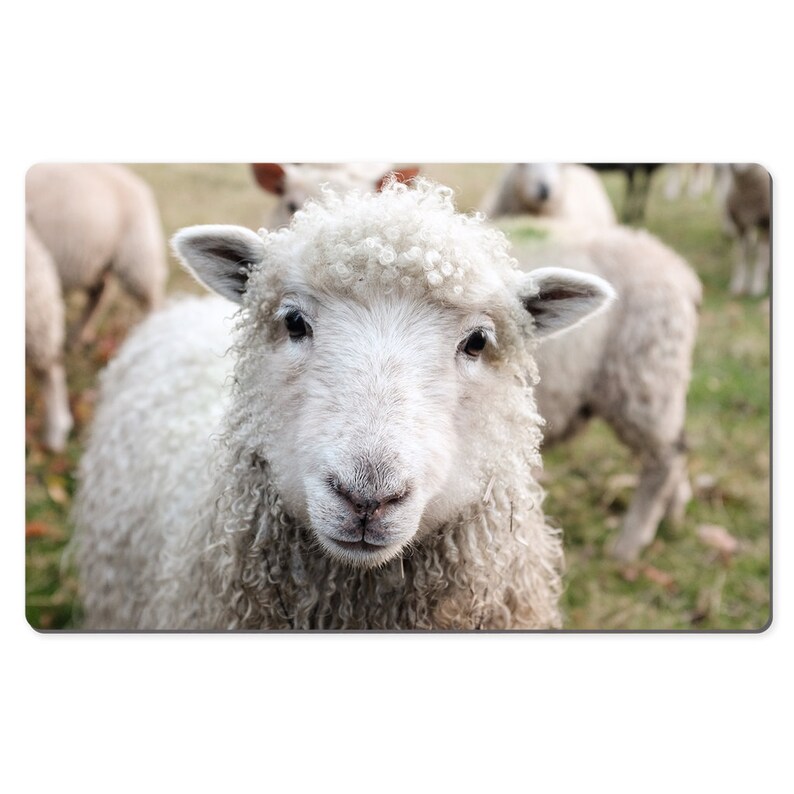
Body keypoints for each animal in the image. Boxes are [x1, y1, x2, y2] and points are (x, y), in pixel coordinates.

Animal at [503, 219, 702, 561]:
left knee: (666, 457)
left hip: (643, 376)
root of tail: (682, 271)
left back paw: (629, 544)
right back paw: (674, 513)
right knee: (677, 446)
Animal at [722, 163, 771, 296]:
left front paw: (757, 287)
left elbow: (761, 254)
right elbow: (740, 254)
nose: (731, 165)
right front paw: (737, 285)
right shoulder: (740, 225)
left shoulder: (765, 224)